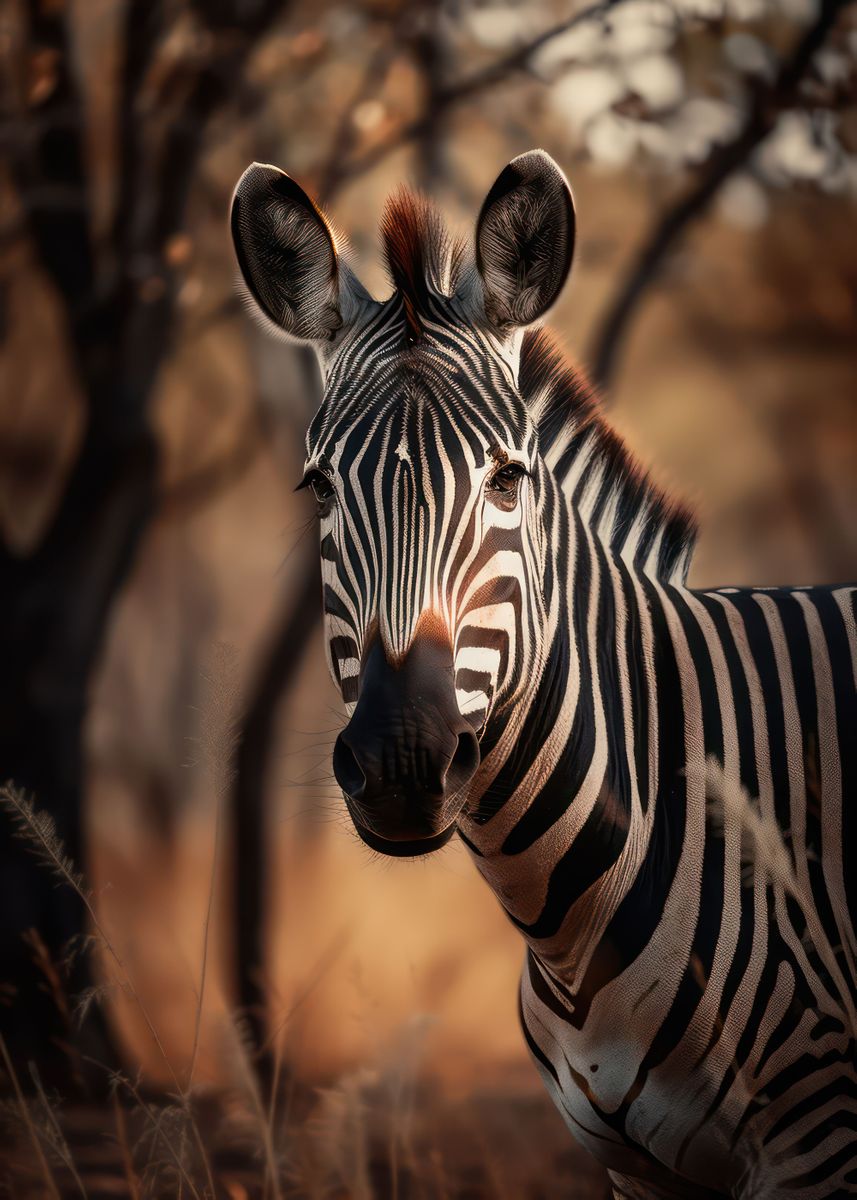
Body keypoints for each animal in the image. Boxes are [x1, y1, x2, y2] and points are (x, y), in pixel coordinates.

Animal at [230, 150, 857, 1199]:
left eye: (508, 478)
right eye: (317, 487)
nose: (400, 763)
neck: (569, 928)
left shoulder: (816, 1142)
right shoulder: (637, 1171)